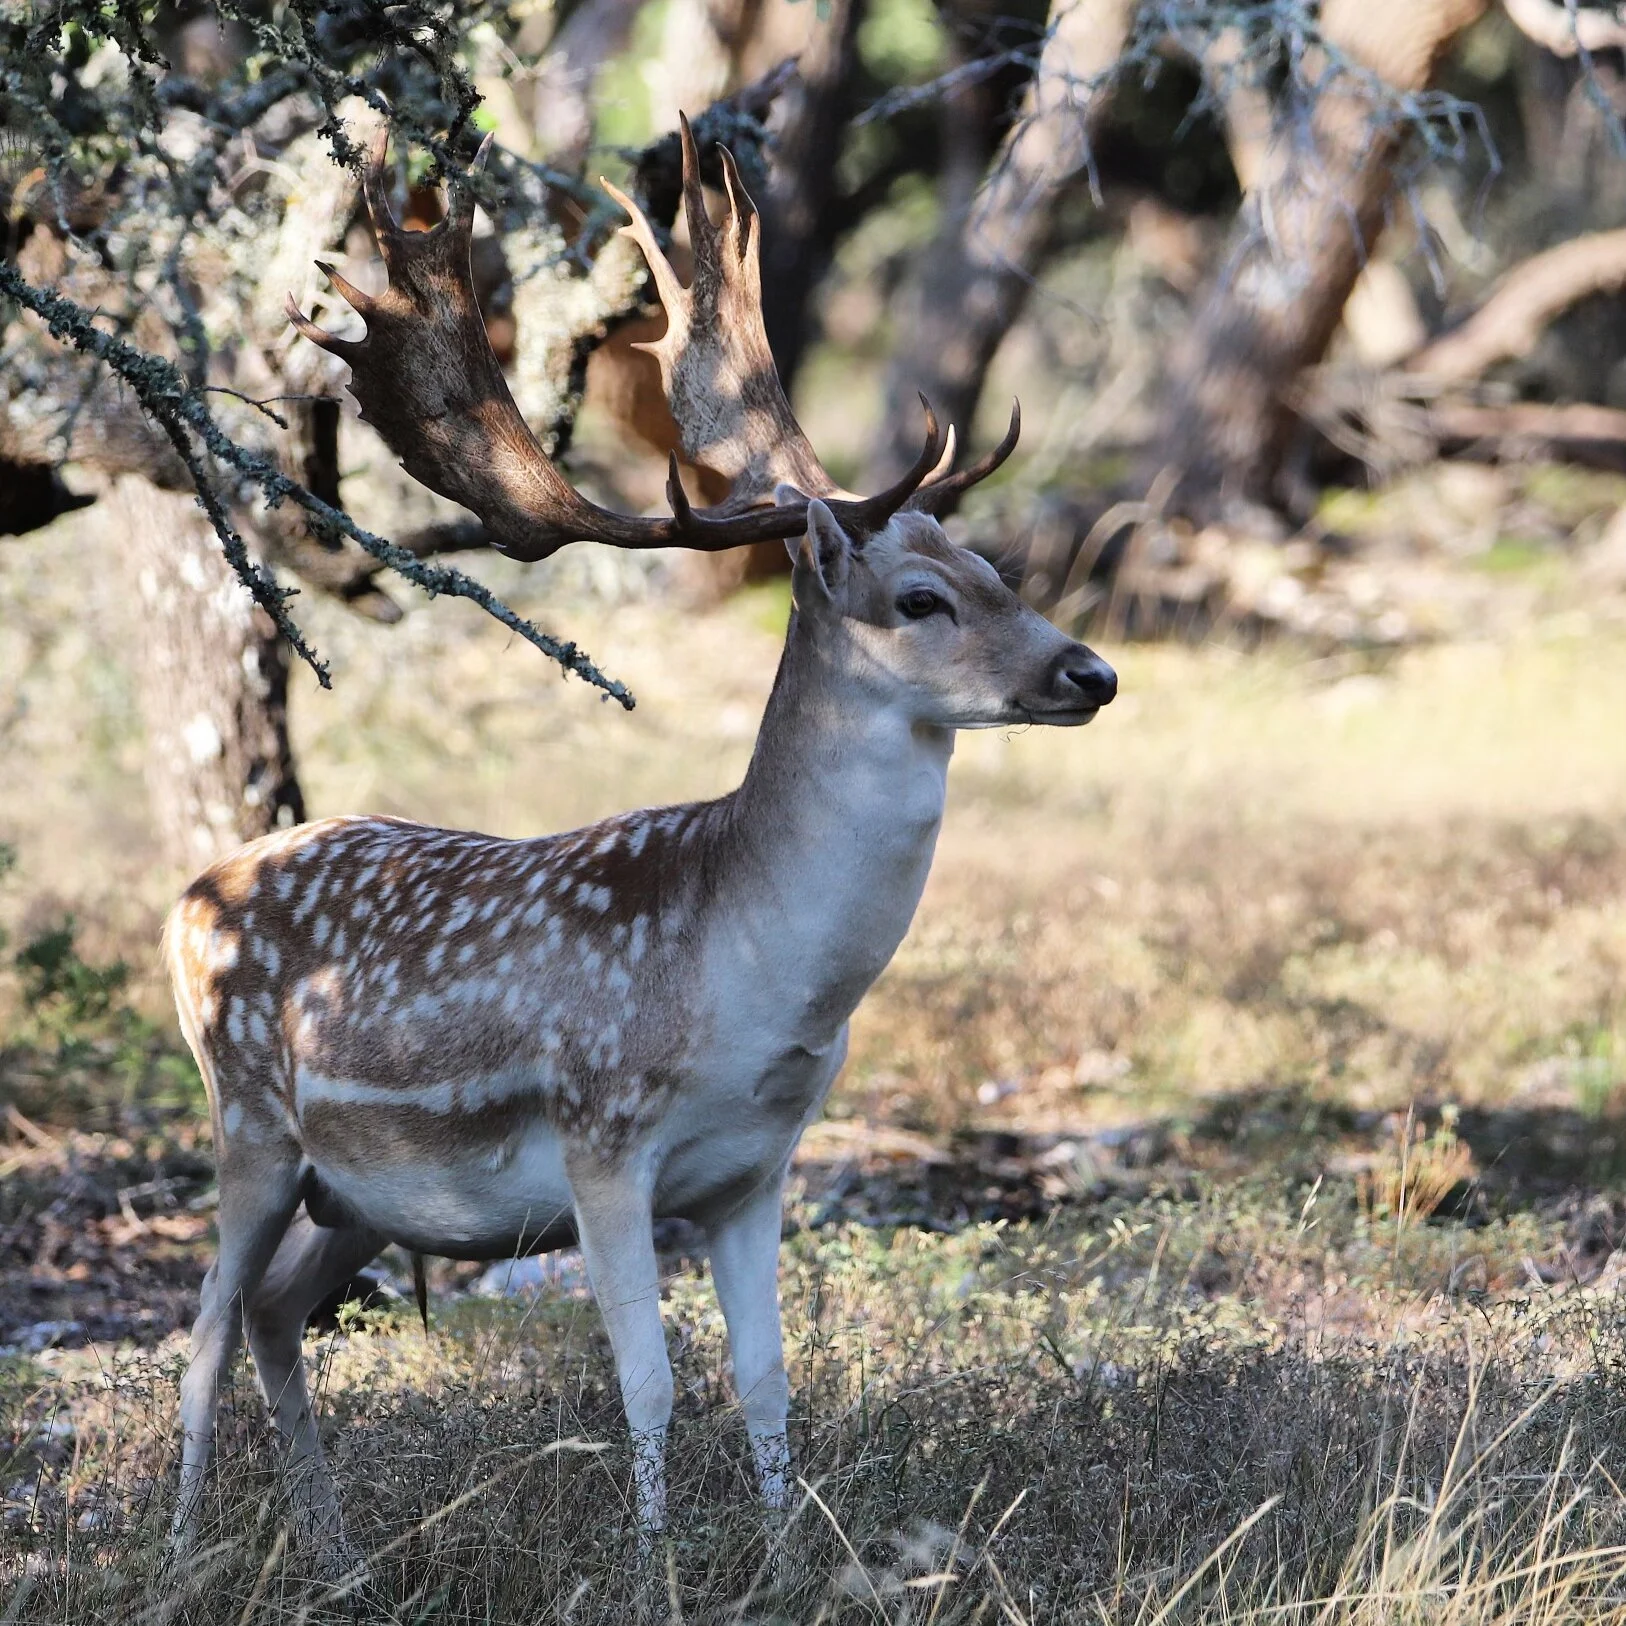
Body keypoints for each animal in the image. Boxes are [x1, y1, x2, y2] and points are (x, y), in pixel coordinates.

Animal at [164, 118, 1117, 1568]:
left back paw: (339, 1559)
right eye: (920, 598)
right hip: (248, 1120)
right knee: (206, 1328)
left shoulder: (755, 1168)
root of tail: (180, 899)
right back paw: (175, 1548)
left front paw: (787, 1560)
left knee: (272, 1312)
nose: (1090, 672)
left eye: (1000, 571)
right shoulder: (602, 1133)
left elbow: (768, 1380)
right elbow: (650, 1383)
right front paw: (656, 1565)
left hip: (356, 1193)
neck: (753, 977)